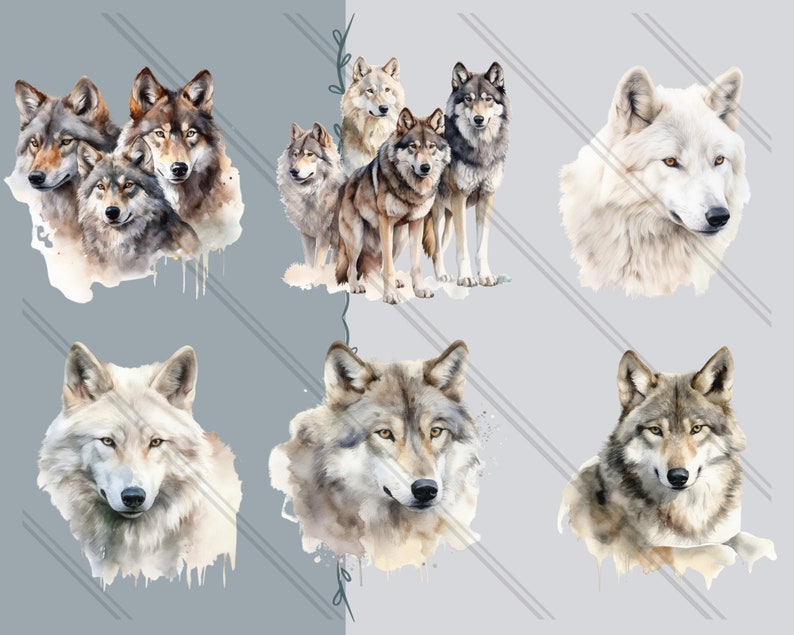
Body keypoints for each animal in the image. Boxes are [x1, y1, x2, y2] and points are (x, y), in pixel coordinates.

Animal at [276, 122, 345, 267]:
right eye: (295, 154)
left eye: (310, 154)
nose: (293, 171)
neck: (310, 193)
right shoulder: (307, 235)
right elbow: (309, 263)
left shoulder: (324, 236)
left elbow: (317, 265)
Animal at [336, 107, 450, 304]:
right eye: (413, 146)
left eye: (431, 147)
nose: (425, 167)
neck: (411, 188)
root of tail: (348, 183)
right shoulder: (386, 221)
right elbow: (388, 268)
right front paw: (390, 295)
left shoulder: (417, 223)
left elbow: (415, 265)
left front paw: (420, 290)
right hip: (357, 238)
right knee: (353, 267)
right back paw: (355, 286)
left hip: (399, 239)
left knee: (383, 265)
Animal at [425, 62, 511, 288]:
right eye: (468, 99)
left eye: (488, 99)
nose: (479, 119)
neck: (480, 149)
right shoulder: (460, 197)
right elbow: (462, 246)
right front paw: (465, 277)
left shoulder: (487, 197)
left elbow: (482, 246)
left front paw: (486, 276)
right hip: (437, 215)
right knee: (436, 249)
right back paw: (442, 277)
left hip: (448, 221)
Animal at [559, 347, 776, 585]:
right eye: (655, 430)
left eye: (697, 428)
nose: (678, 476)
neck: (686, 511)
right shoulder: (632, 550)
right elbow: (689, 549)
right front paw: (724, 554)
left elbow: (748, 540)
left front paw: (761, 550)